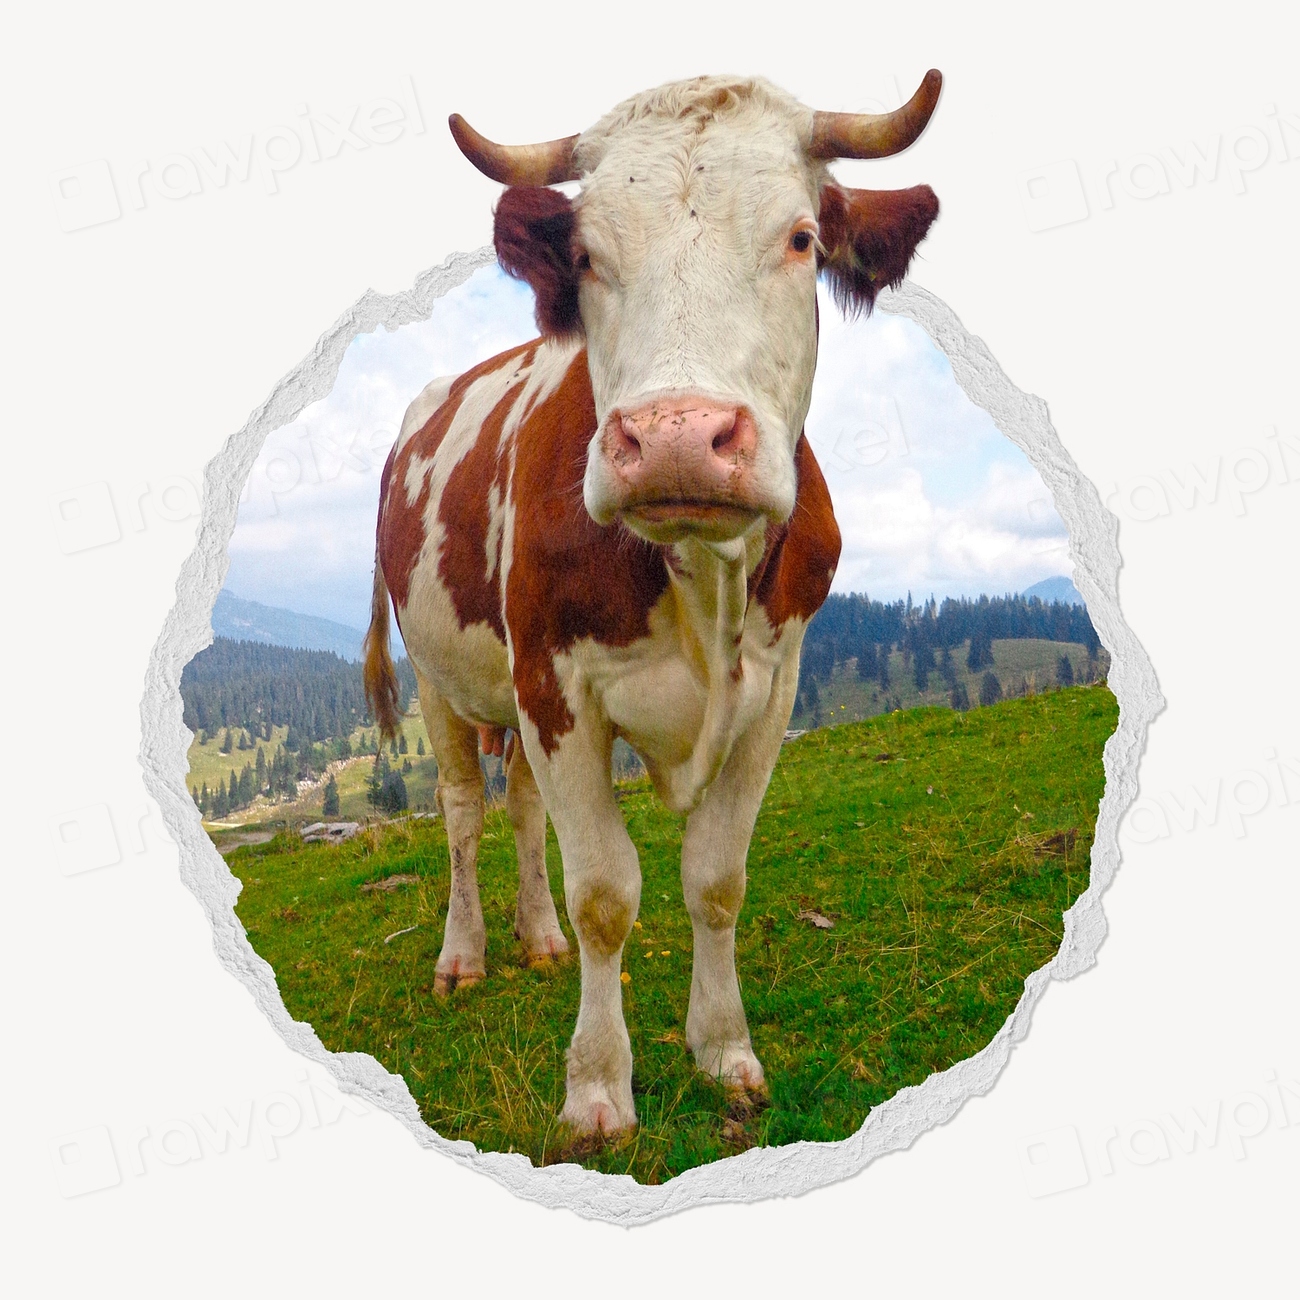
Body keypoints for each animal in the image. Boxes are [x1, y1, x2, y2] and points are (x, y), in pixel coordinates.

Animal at [363, 71, 942, 1137]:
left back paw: (537, 938)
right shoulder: (557, 688)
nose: (676, 438)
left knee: (518, 807)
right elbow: (605, 893)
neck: (700, 574)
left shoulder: (774, 688)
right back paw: (465, 955)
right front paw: (597, 1089)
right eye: (587, 255)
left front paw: (723, 1051)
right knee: (463, 810)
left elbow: (715, 880)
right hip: (438, 677)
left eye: (803, 238)